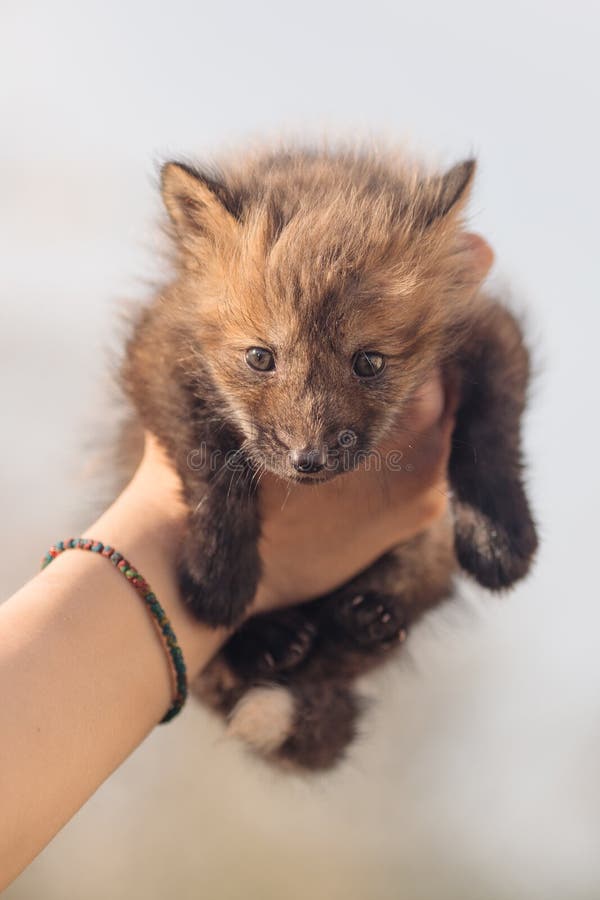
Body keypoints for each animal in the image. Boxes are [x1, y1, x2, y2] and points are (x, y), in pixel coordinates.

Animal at [122, 145, 538, 770]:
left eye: (368, 362)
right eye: (260, 357)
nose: (308, 459)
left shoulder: (484, 322)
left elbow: (491, 434)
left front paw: (498, 540)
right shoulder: (161, 342)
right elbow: (210, 461)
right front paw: (219, 575)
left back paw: (363, 620)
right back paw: (267, 640)